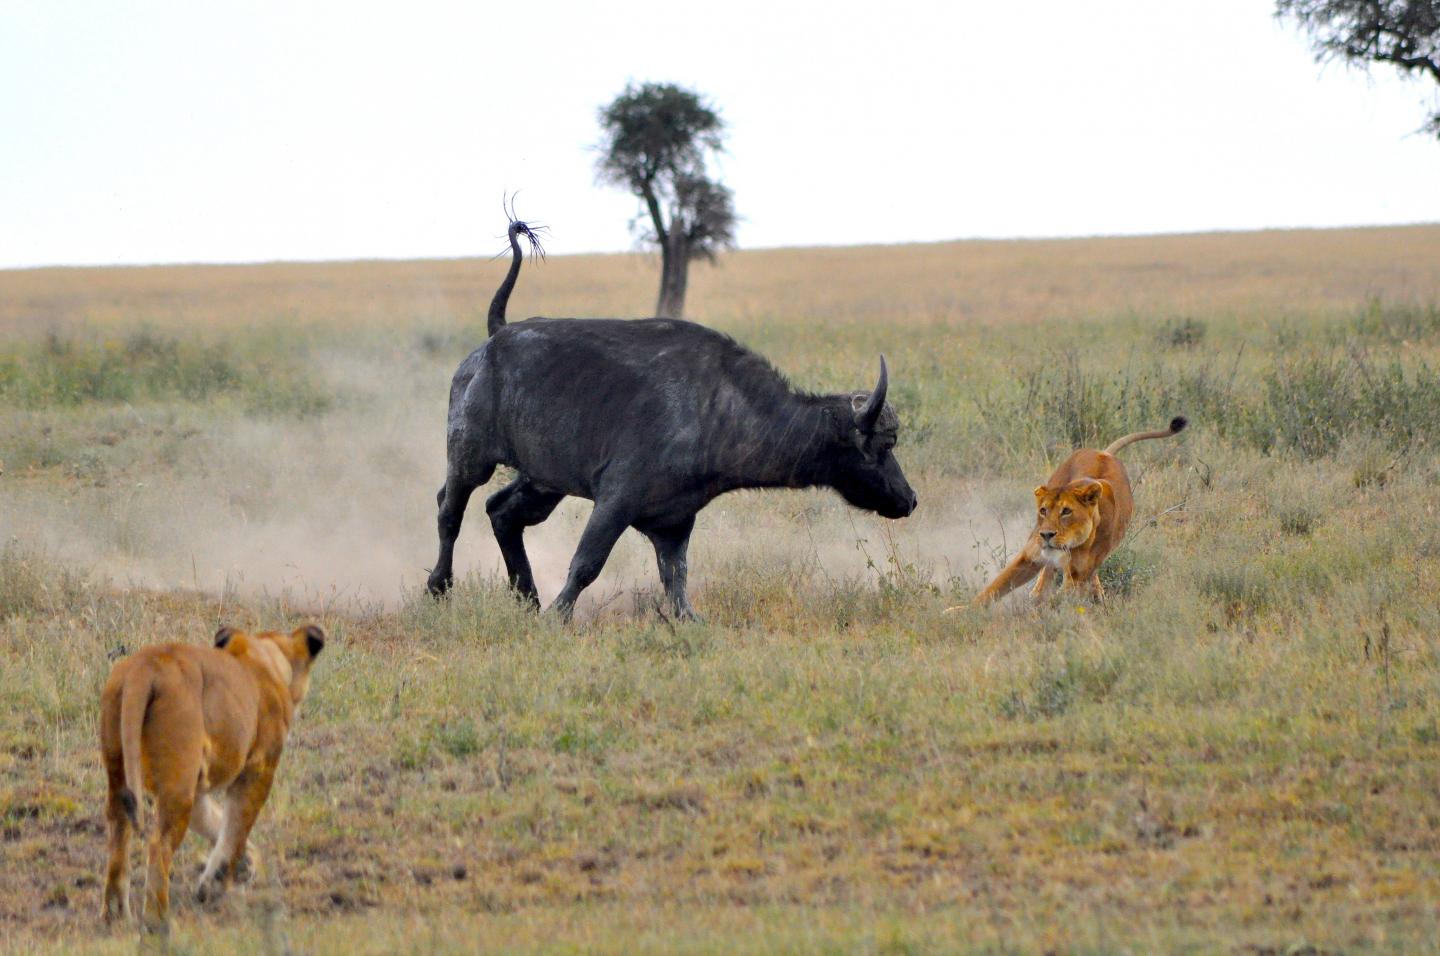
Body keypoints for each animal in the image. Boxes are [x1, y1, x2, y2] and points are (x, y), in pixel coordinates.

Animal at [98, 624, 325, 930]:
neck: (261, 656)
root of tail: (145, 665)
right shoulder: (258, 769)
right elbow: (237, 829)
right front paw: (219, 882)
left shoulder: (198, 787)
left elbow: (218, 824)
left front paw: (246, 865)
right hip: (178, 783)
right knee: (159, 844)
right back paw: (159, 921)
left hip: (124, 769)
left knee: (118, 830)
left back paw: (115, 915)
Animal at [973, 417, 1187, 606]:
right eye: (1043, 510)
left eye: (1066, 511)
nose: (1046, 534)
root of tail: (1104, 452)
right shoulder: (1029, 556)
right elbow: (993, 589)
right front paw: (968, 613)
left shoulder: (1076, 576)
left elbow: (1055, 601)